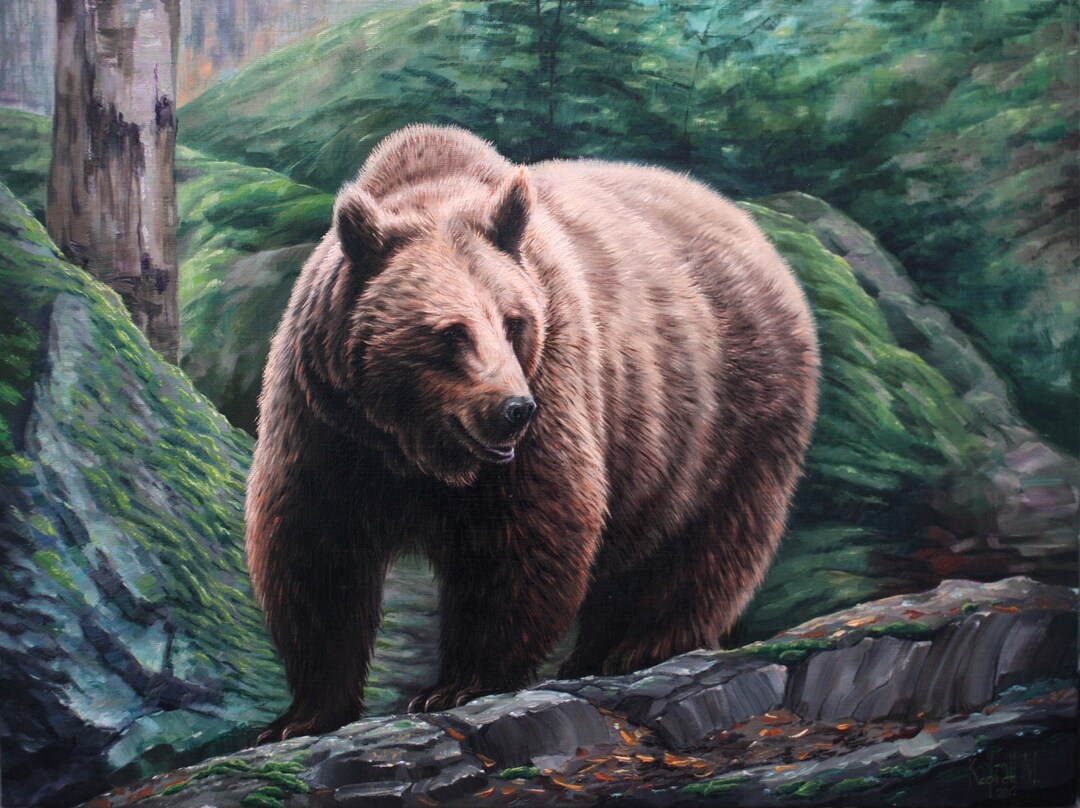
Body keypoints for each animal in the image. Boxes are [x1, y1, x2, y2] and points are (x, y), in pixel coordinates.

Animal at [245, 125, 819, 742]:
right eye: (450, 333)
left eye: (513, 320)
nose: (513, 409)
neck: (413, 446)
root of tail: (748, 225)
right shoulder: (329, 425)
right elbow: (316, 551)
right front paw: (302, 715)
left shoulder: (554, 384)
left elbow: (526, 537)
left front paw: (459, 682)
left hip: (731, 402)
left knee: (708, 537)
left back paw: (641, 645)